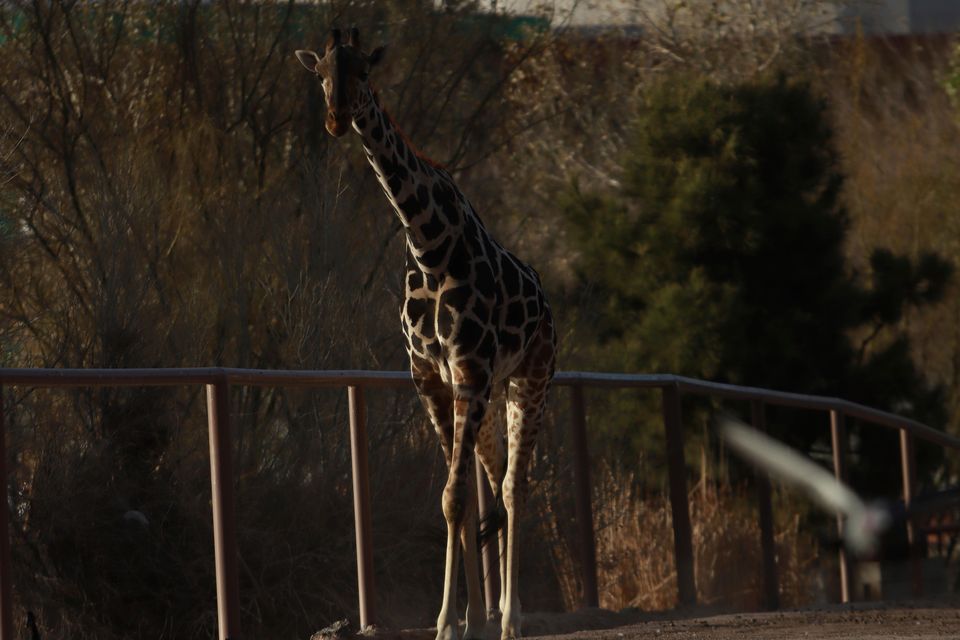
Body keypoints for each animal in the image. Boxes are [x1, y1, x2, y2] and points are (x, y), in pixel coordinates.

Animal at [297, 28, 556, 640]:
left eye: (364, 71)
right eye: (319, 72)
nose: (337, 119)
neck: (428, 245)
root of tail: (546, 299)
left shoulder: (470, 373)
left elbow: (457, 495)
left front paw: (447, 623)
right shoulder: (430, 377)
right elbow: (452, 501)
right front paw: (460, 622)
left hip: (530, 379)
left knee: (515, 486)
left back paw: (512, 618)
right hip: (493, 392)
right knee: (495, 483)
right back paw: (491, 615)